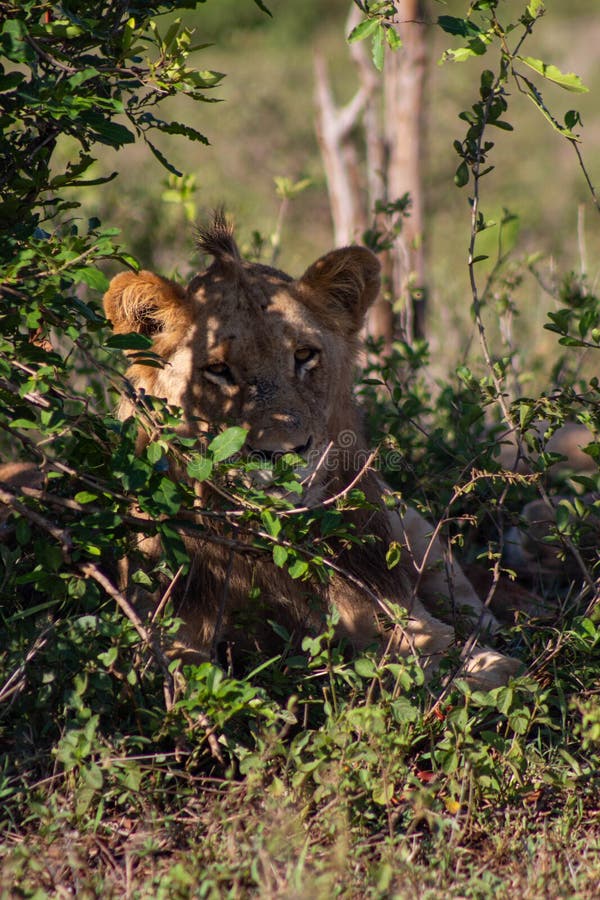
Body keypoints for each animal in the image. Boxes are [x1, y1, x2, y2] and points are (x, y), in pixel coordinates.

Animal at [102, 215, 520, 689]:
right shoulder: (164, 632)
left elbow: (468, 659)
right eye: (218, 369)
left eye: (304, 355)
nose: (284, 452)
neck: (262, 543)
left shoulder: (390, 610)